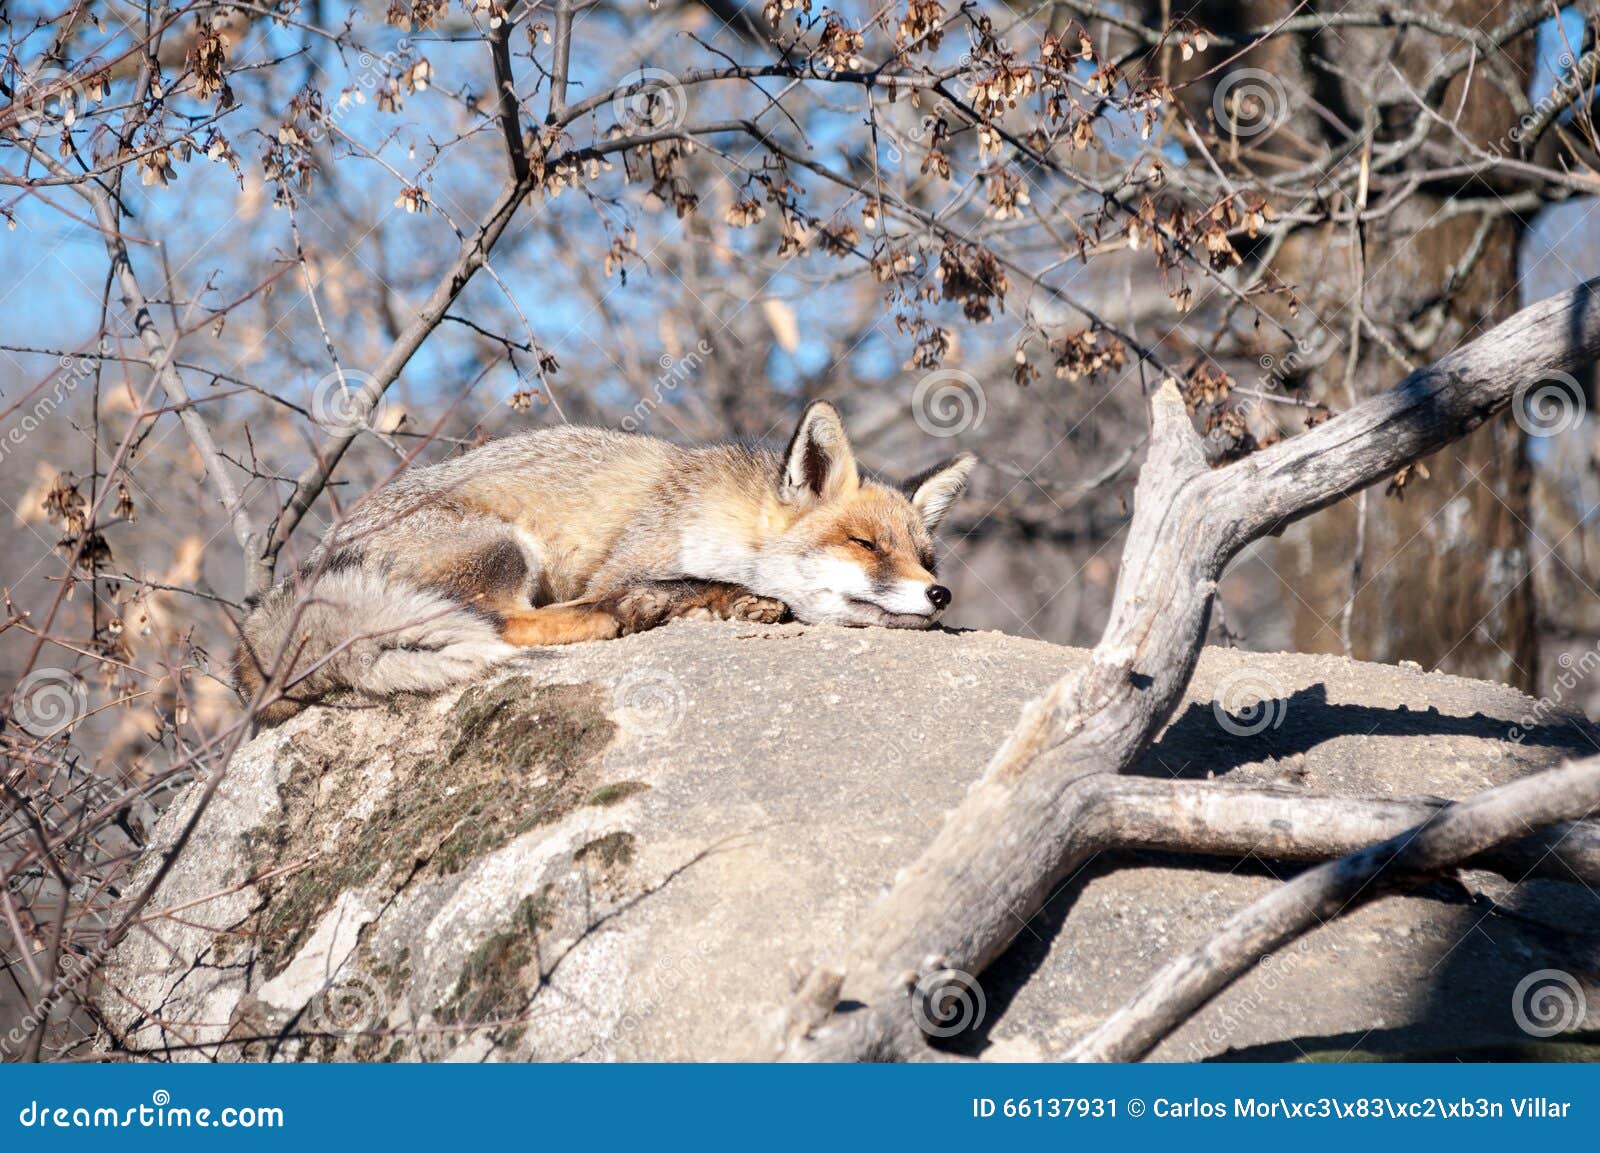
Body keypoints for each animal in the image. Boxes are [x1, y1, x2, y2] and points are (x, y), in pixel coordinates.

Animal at [235, 400, 977, 724]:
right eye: (866, 544)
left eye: (925, 555)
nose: (940, 594)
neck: (729, 518)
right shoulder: (630, 559)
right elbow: (685, 577)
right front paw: (719, 600)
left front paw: (737, 603)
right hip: (507, 547)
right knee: (508, 624)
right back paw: (621, 616)